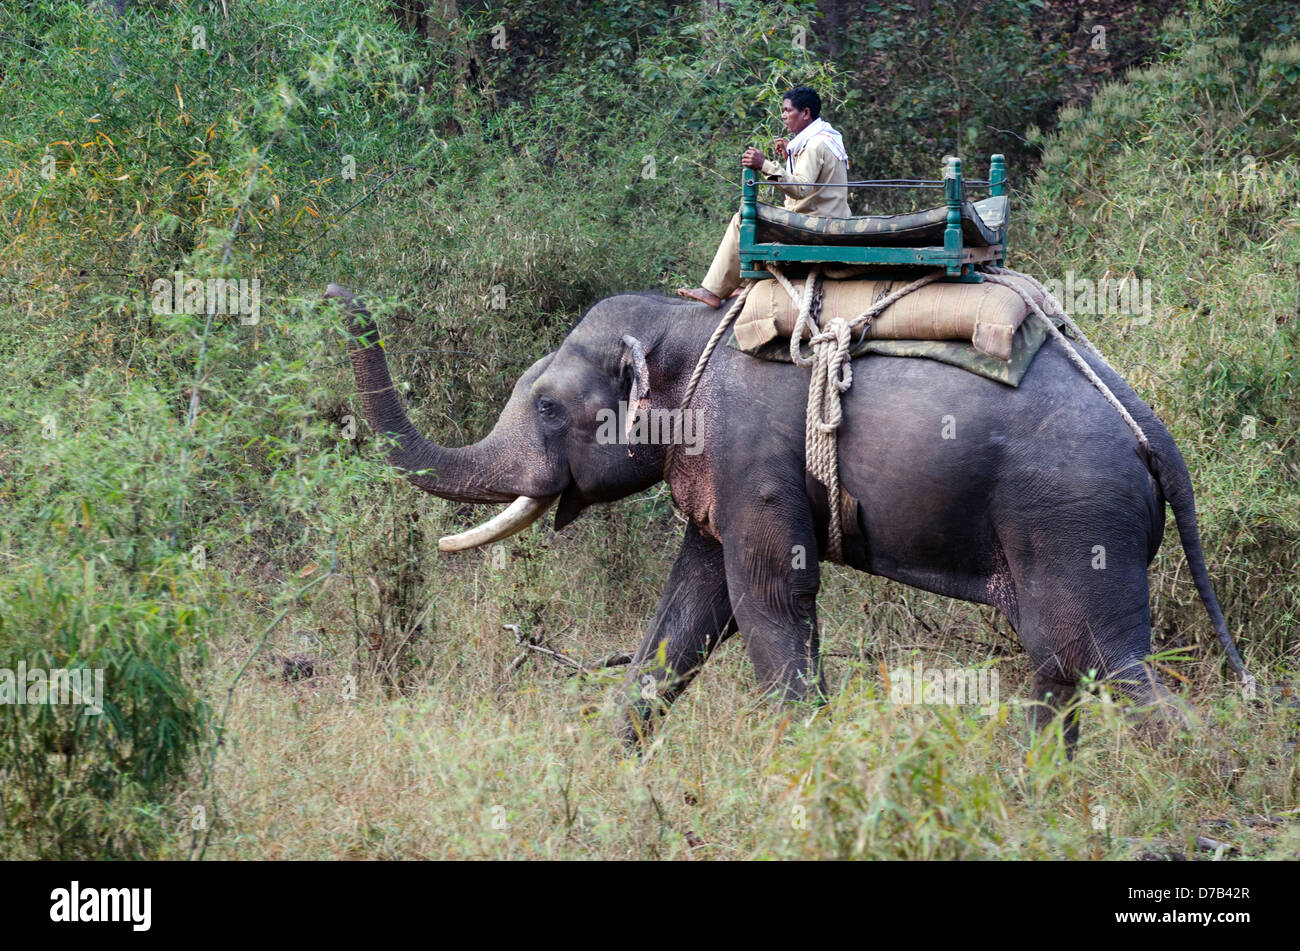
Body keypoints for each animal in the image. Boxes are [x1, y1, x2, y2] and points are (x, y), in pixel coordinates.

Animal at [326, 281, 1251, 748]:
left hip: (1077, 520)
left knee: (1103, 661)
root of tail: (1154, 434)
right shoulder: (719, 483)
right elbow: (690, 609)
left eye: (549, 408)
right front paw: (601, 766)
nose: (341, 289)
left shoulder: (752, 460)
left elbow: (766, 600)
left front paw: (808, 774)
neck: (690, 325)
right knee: (1060, 668)